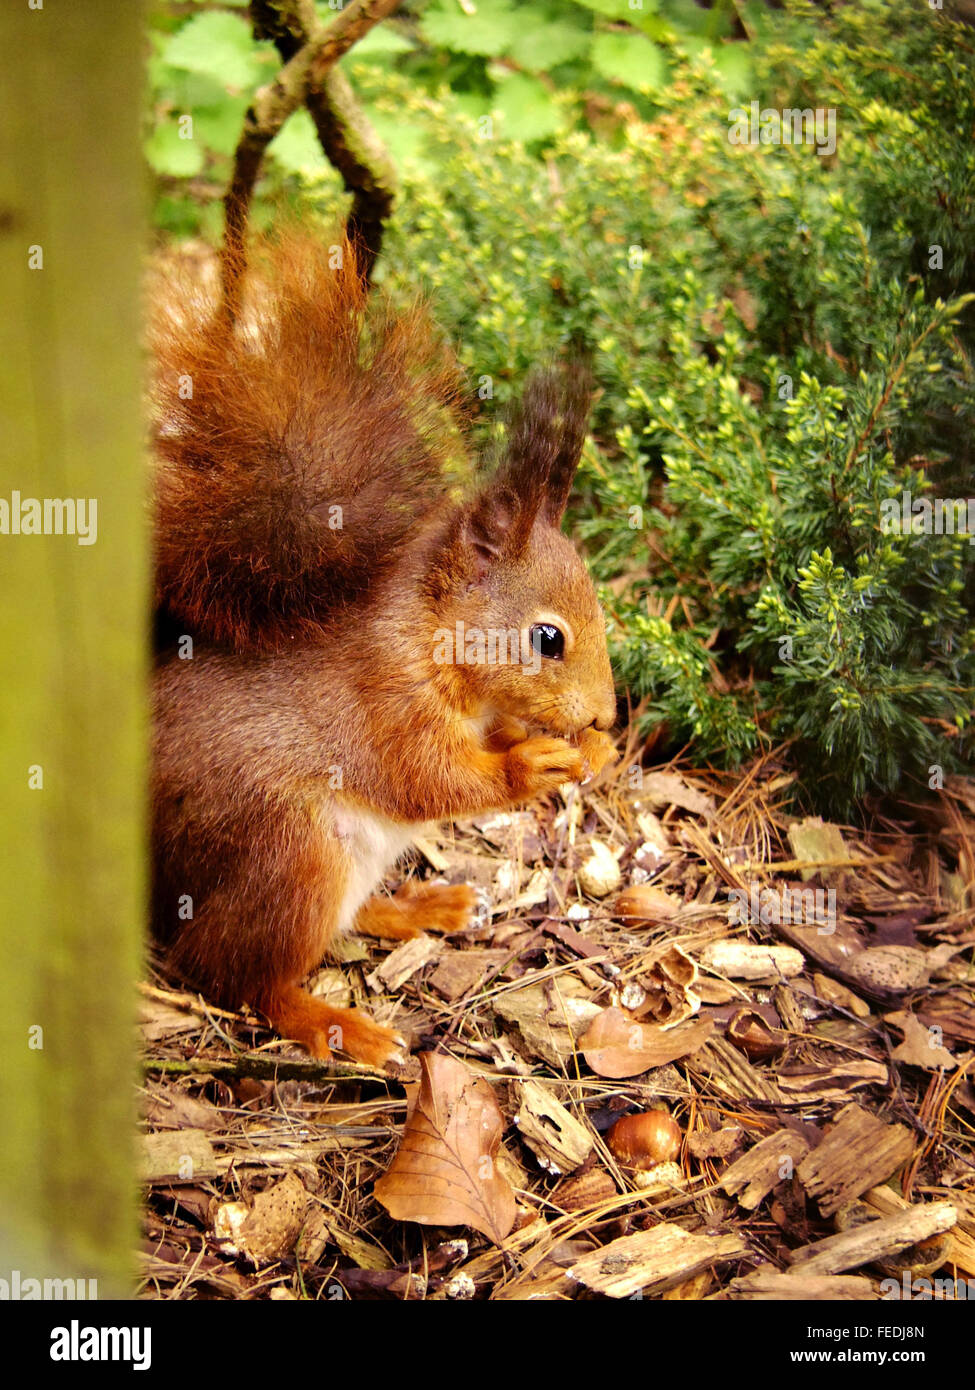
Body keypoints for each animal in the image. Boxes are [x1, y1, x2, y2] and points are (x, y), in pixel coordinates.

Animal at [150, 230, 617, 1068]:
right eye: (548, 638)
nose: (605, 715)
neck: (429, 640)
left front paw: (587, 754)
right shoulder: (382, 701)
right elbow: (428, 778)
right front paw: (531, 765)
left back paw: (418, 908)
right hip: (290, 855)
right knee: (236, 973)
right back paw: (337, 1025)